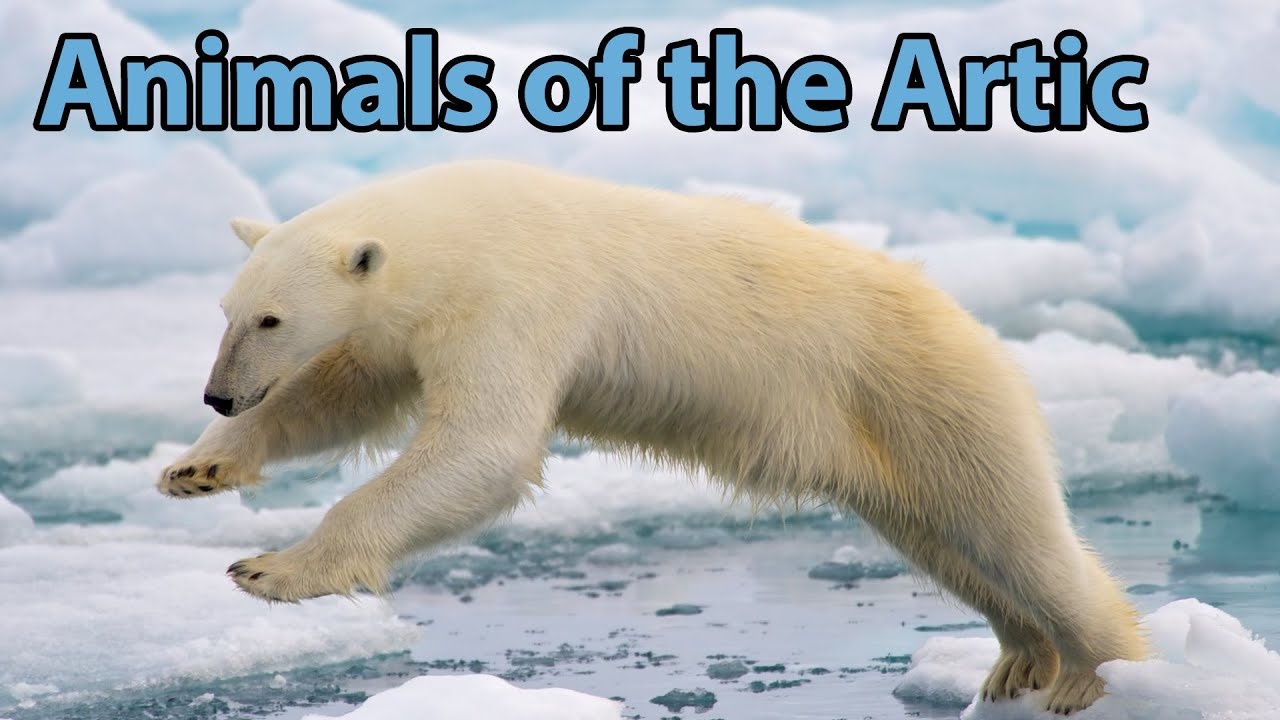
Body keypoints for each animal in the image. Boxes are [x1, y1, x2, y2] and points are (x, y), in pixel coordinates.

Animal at [157, 160, 1145, 714]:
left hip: (925, 393)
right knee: (945, 541)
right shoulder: (411, 323)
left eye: (271, 318)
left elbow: (483, 446)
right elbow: (345, 393)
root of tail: (972, 325)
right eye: (228, 311)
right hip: (884, 443)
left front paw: (272, 569)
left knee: (1013, 529)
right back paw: (1018, 659)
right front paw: (197, 468)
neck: (456, 232)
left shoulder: (516, 297)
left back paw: (1092, 673)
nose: (217, 393)